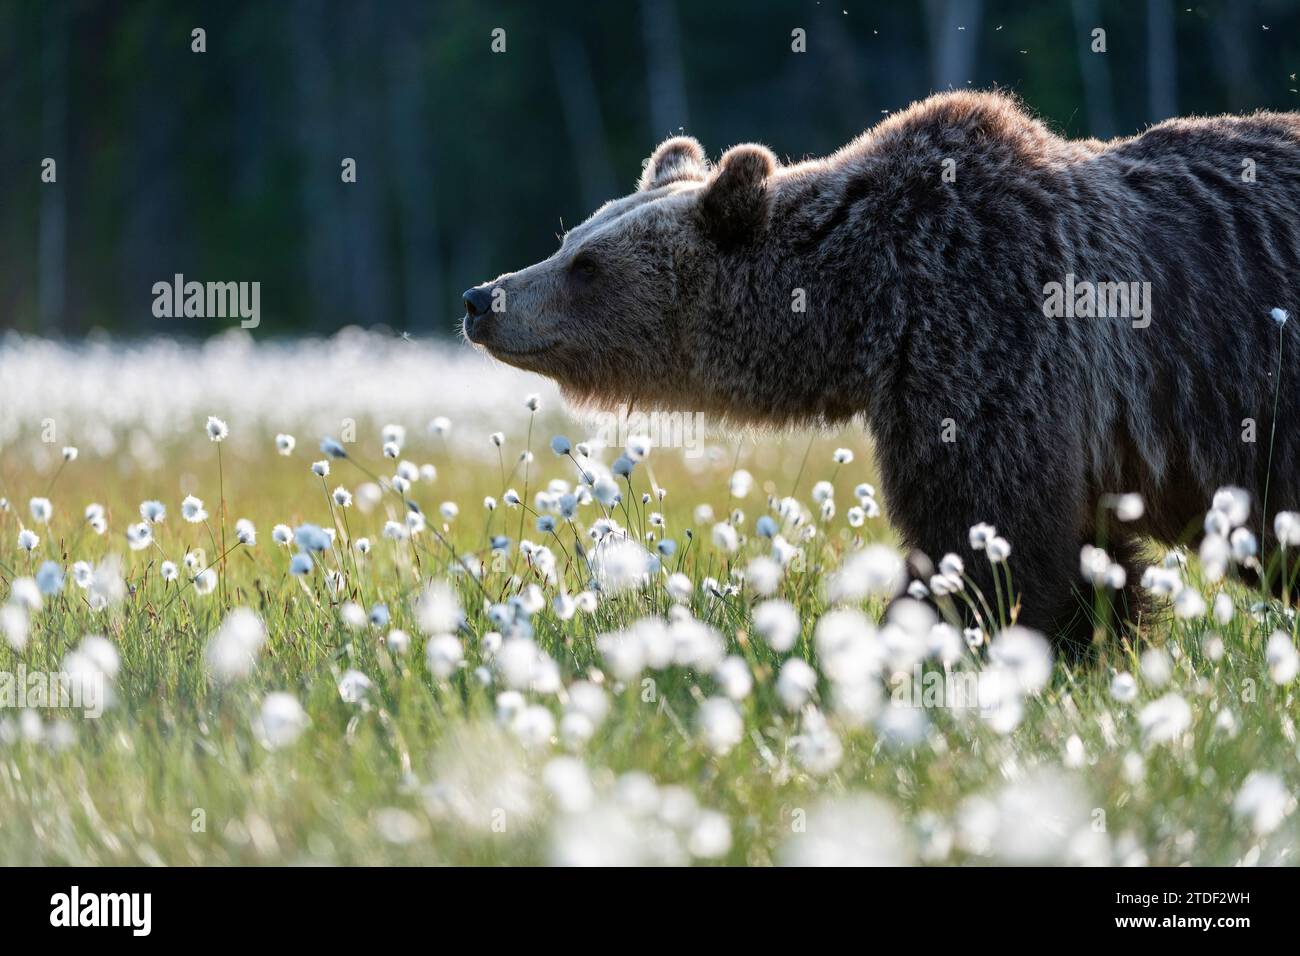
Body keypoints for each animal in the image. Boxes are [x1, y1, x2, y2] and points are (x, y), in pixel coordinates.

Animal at [462, 90, 1300, 652]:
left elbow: (990, 538)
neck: (872, 301)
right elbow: (1078, 559)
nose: (481, 298)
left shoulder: (996, 340)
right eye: (571, 237)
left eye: (587, 266)